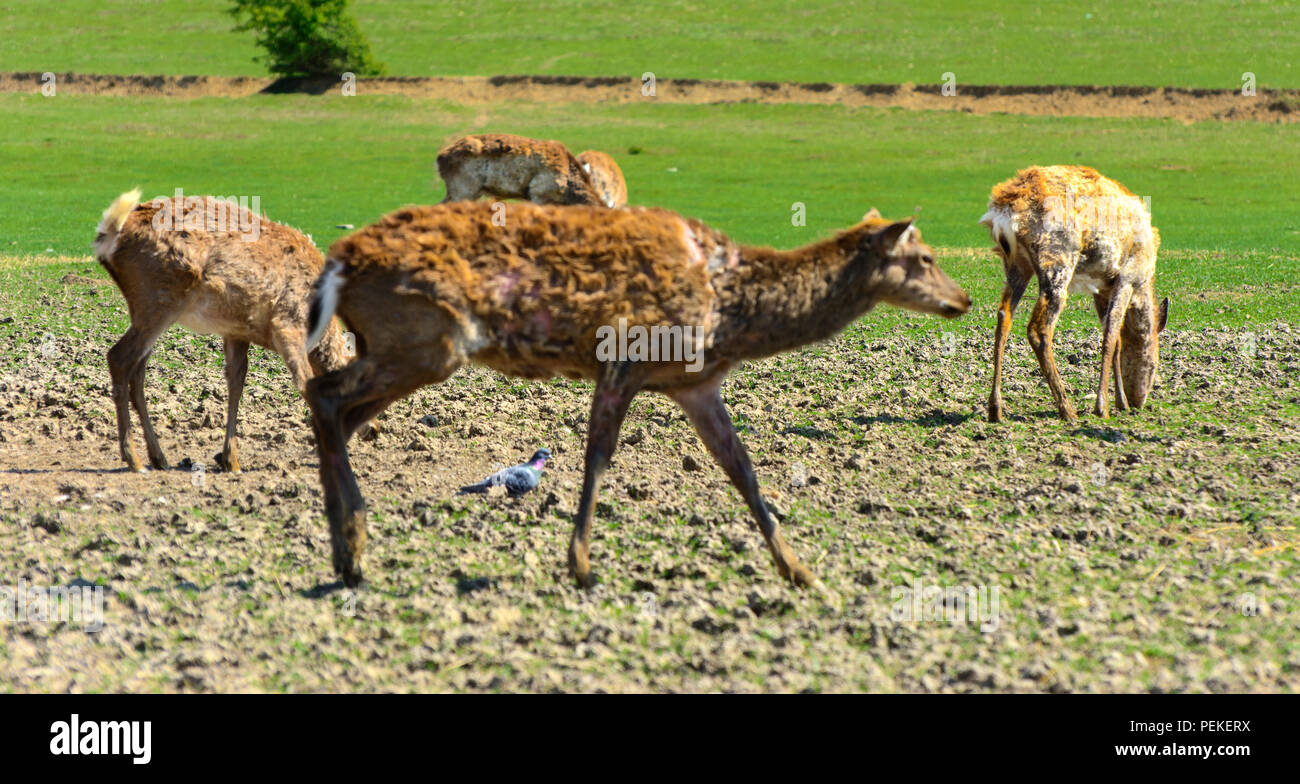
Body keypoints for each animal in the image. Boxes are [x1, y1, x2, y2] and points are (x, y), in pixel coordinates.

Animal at [94, 189, 351, 473]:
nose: (372, 431)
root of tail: (108, 236)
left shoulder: (236, 332)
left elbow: (236, 381)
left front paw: (230, 459)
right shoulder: (286, 325)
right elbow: (305, 383)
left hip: (145, 309)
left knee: (137, 369)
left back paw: (158, 457)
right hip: (159, 299)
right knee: (119, 357)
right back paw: (134, 459)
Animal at [302, 201, 970, 591]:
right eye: (924, 256)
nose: (963, 298)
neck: (731, 317)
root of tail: (335, 265)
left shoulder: (695, 383)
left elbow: (743, 470)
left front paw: (800, 571)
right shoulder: (626, 357)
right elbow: (598, 456)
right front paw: (580, 565)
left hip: (402, 345)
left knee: (336, 410)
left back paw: (345, 547)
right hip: (424, 337)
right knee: (323, 391)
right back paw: (353, 546)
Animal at [980, 165, 1168, 424]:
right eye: (1154, 365)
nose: (1138, 401)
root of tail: (1003, 215)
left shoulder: (1102, 287)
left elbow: (1116, 340)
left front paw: (1120, 403)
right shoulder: (1128, 277)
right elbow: (1111, 335)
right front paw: (1103, 407)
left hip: (1016, 264)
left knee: (1003, 315)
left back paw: (995, 409)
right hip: (1058, 261)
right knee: (1038, 329)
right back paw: (1067, 408)